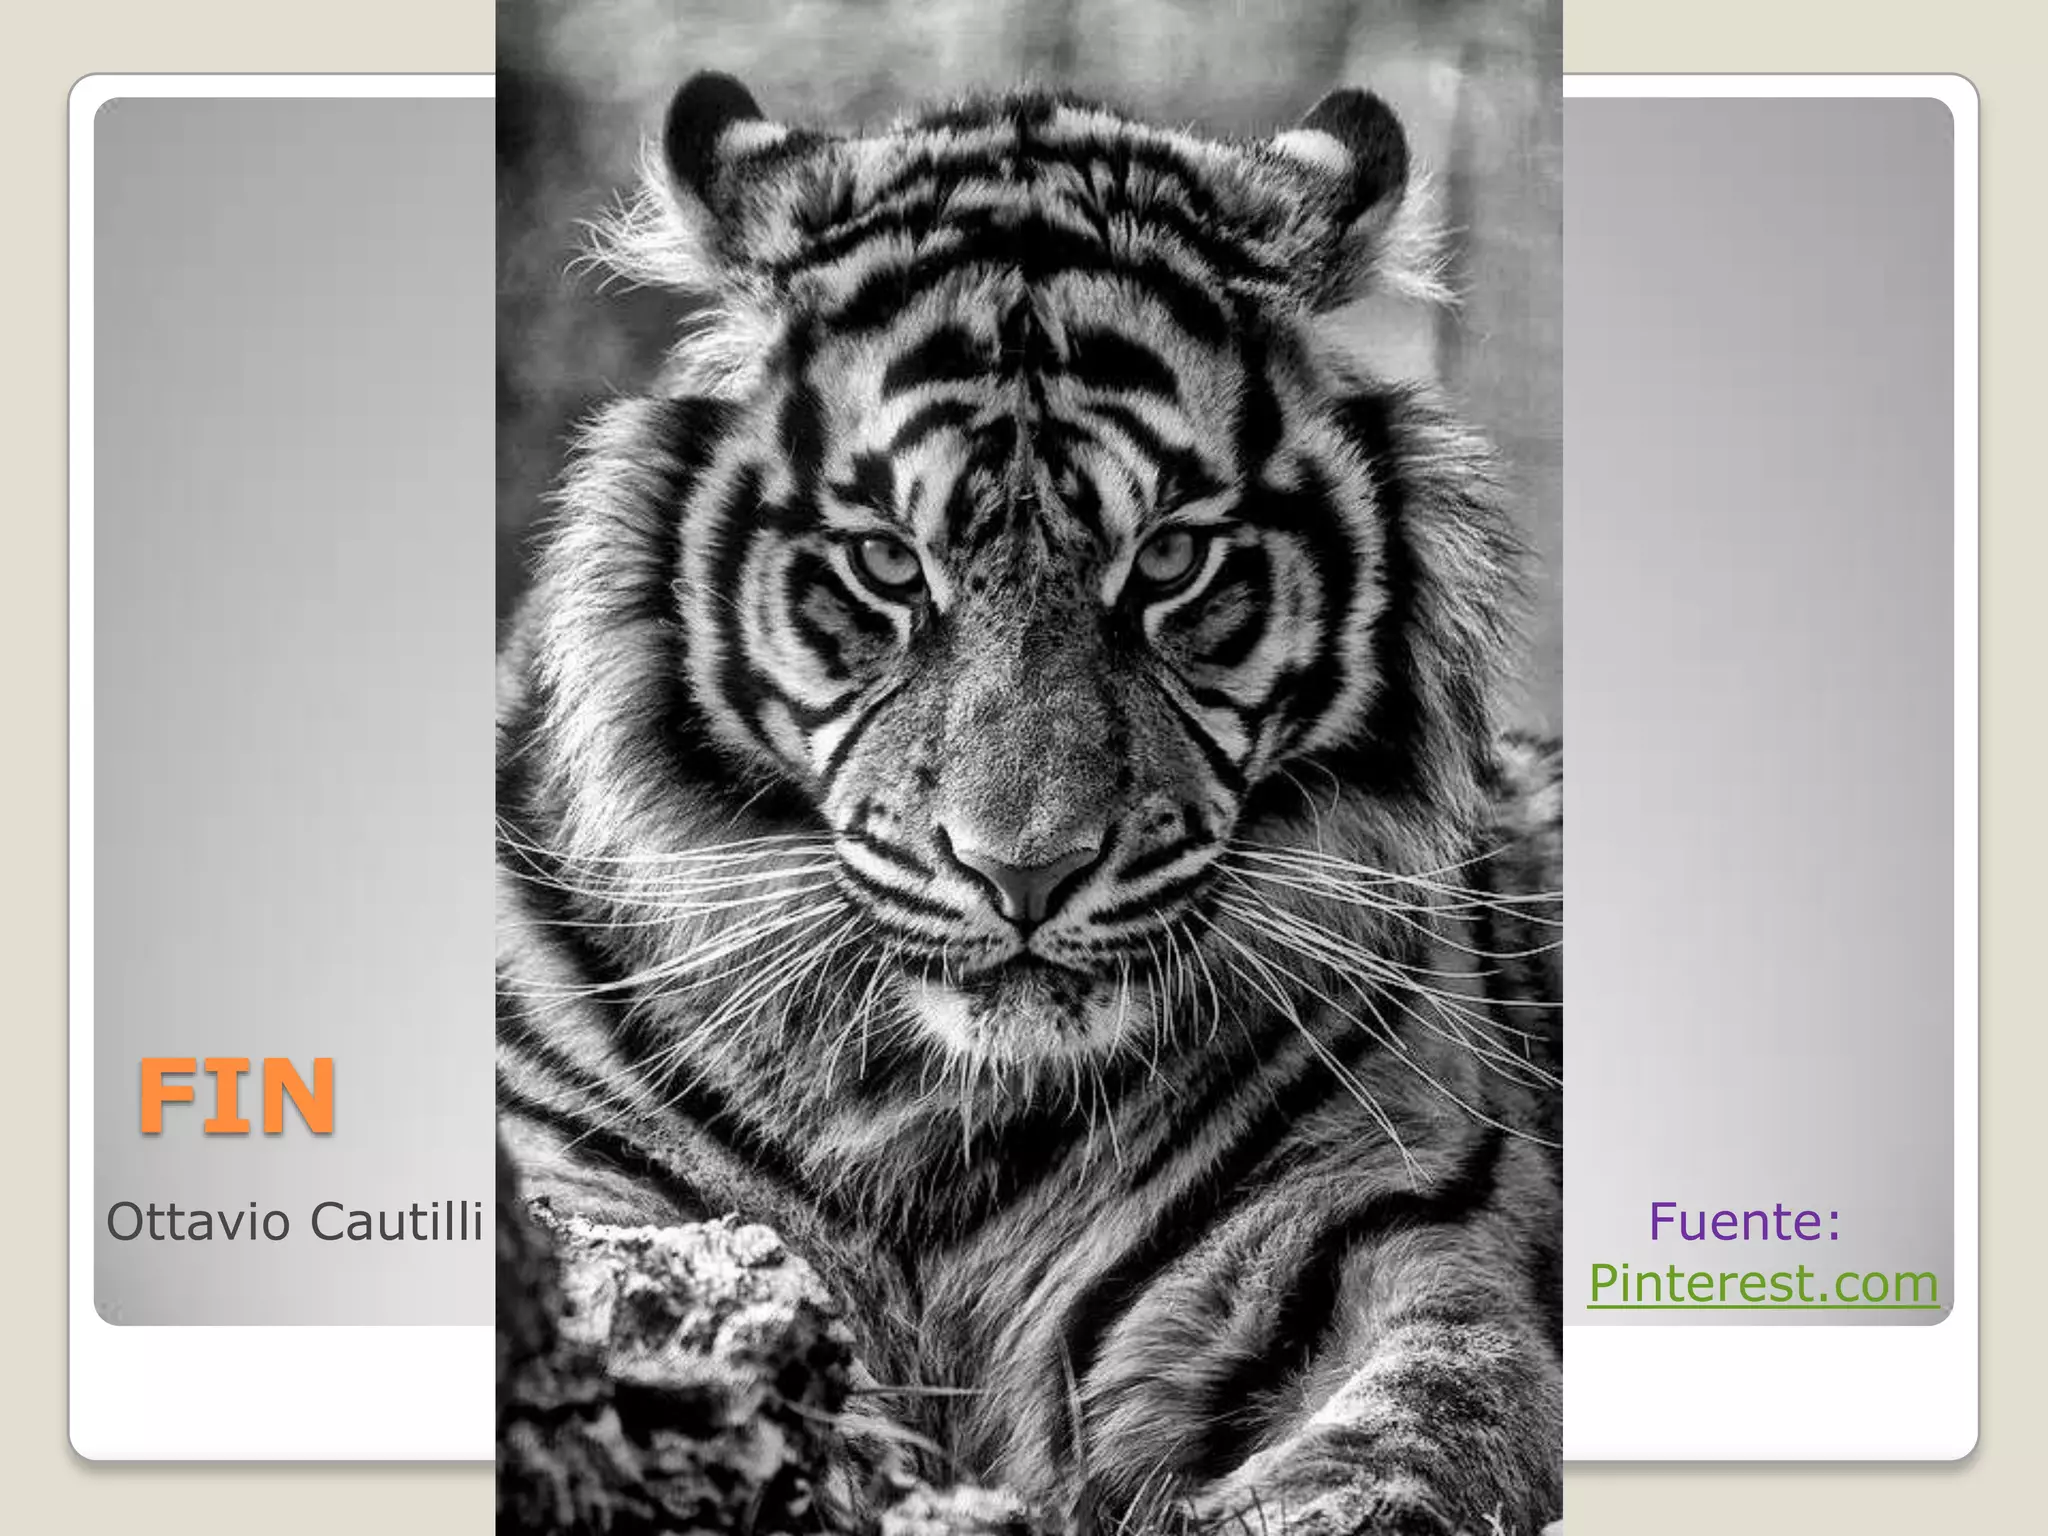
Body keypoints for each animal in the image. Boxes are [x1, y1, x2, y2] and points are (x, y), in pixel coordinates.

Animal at [497, 70, 1563, 1536]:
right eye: (887, 564)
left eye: (1168, 561)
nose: (1025, 874)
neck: (935, 1117)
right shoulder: (575, 1183)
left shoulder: (1387, 1237)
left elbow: (1403, 1441)